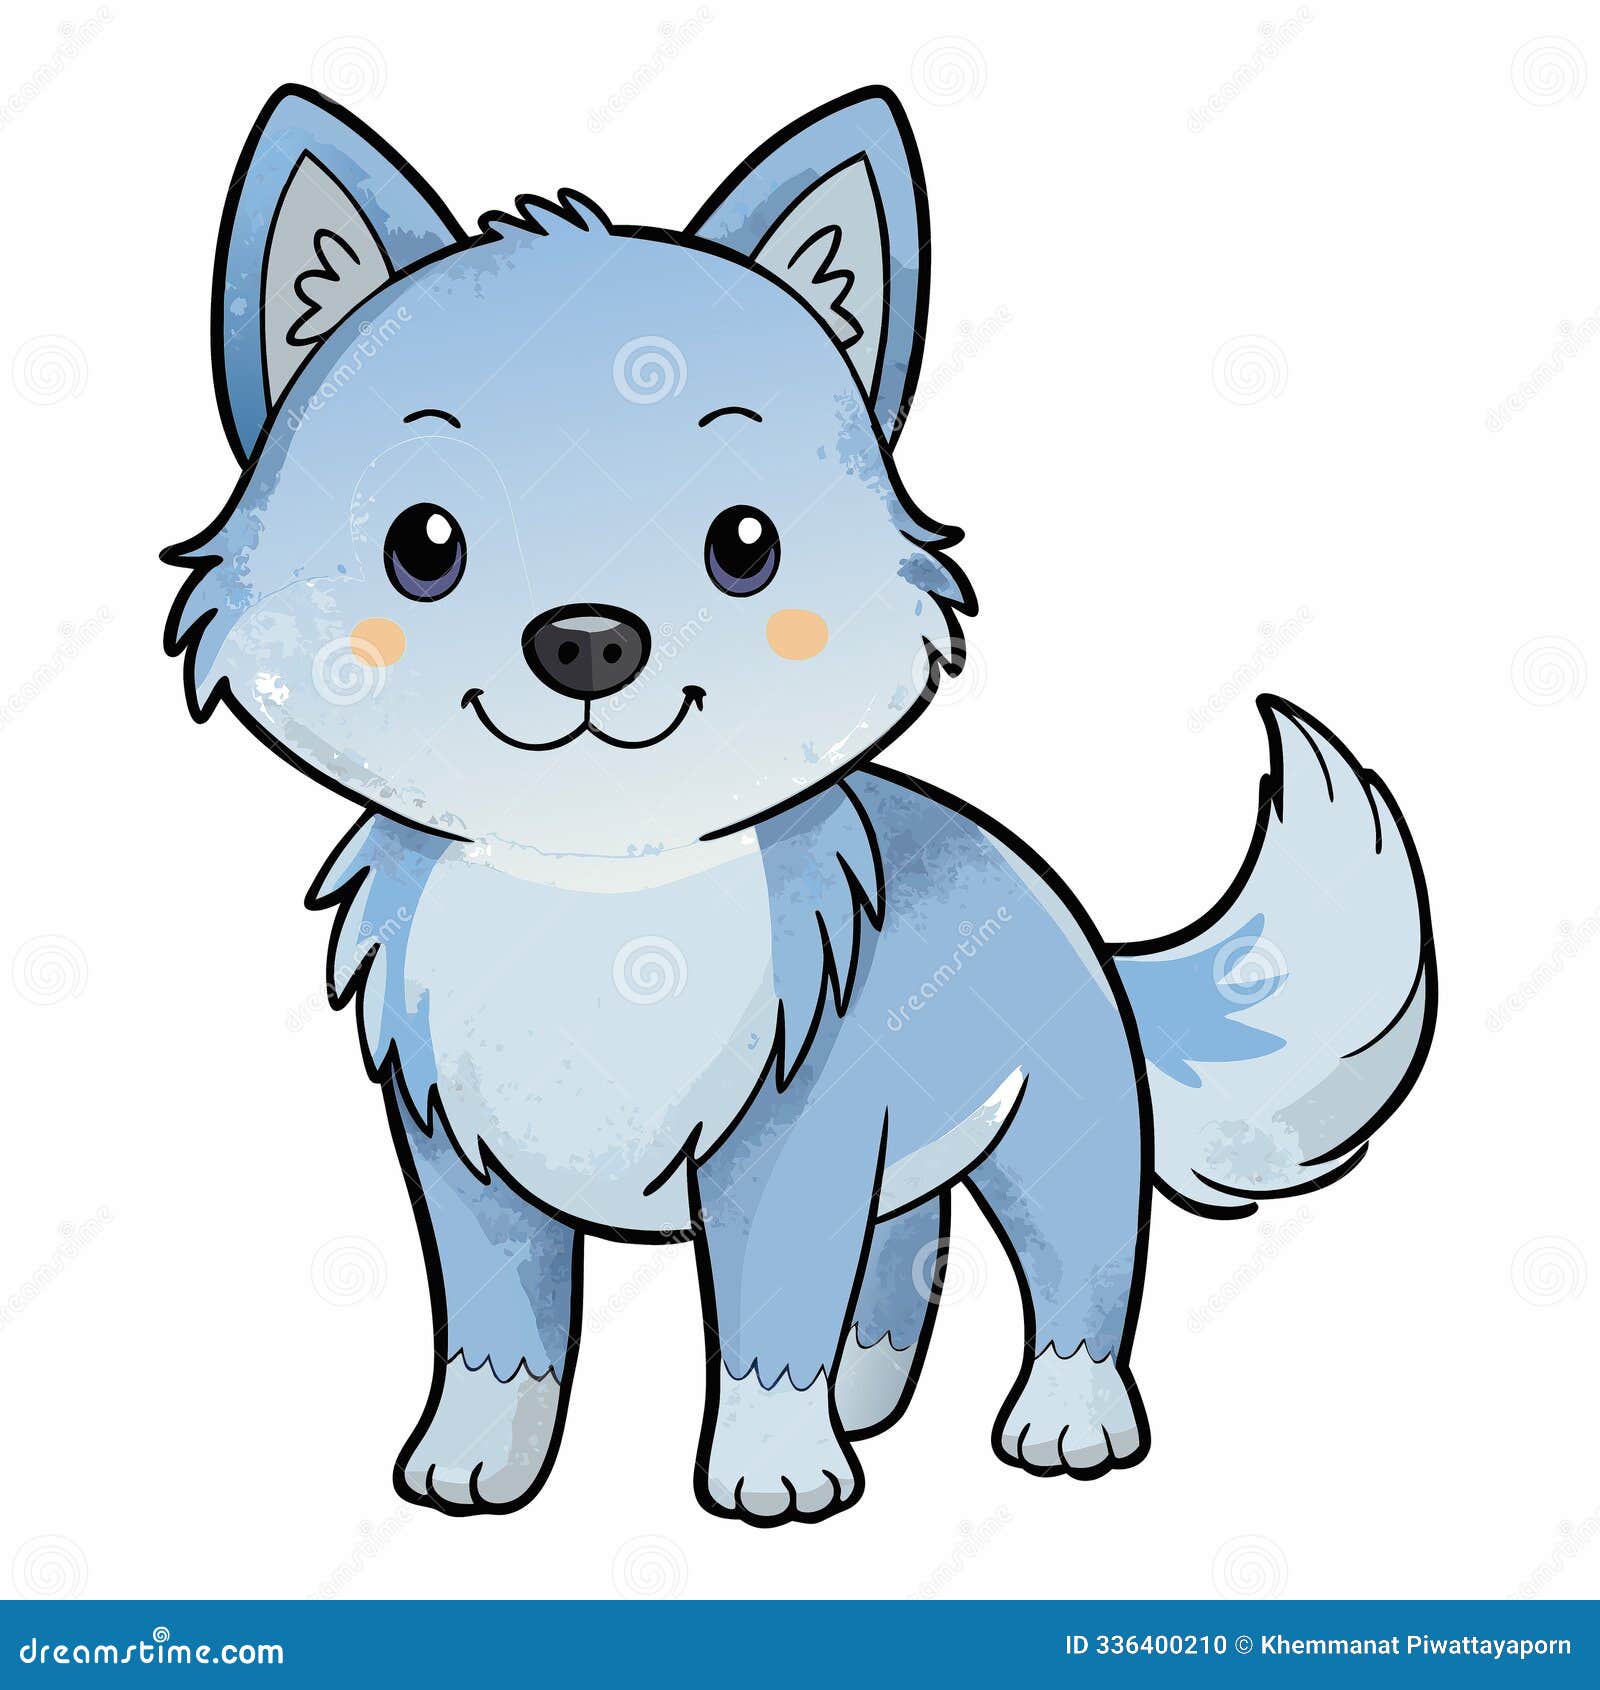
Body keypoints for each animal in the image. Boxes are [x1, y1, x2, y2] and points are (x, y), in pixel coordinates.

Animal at [164, 85, 1435, 1525]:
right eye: (422, 546)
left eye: (744, 544)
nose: (588, 639)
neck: (601, 898)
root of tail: (1051, 886)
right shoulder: (461, 1154)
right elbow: (502, 1332)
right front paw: (477, 1463)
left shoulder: (794, 1140)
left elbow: (770, 1325)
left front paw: (771, 1471)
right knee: (906, 1250)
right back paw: (872, 1402)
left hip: (1064, 1131)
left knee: (1081, 1276)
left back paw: (1063, 1424)